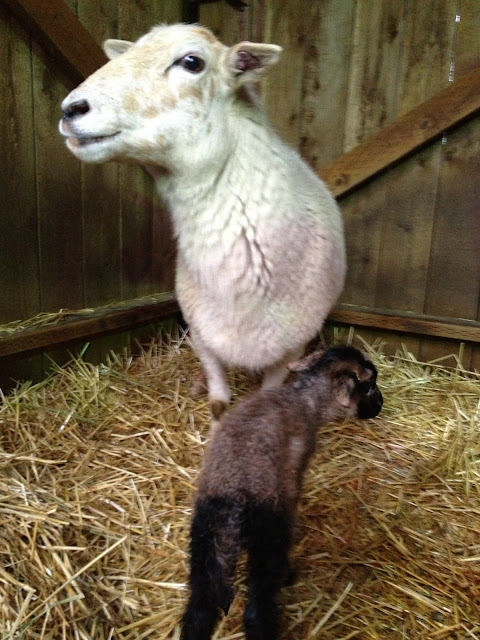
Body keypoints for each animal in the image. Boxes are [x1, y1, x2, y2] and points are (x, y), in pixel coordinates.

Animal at [181, 344, 383, 640]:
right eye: (368, 385)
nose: (381, 405)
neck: (304, 398)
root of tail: (233, 503)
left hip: (202, 543)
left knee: (198, 609)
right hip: (267, 542)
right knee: (257, 609)